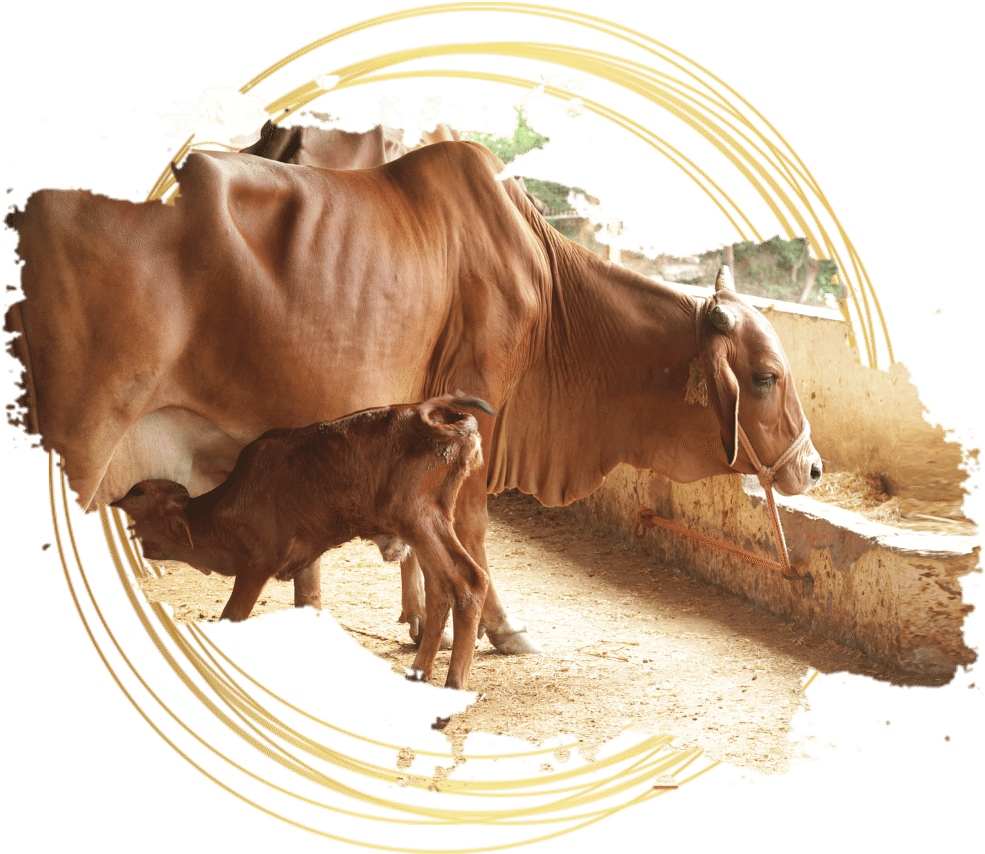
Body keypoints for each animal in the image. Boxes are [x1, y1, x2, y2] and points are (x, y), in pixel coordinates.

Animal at [111, 393, 494, 692]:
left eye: (138, 492)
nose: (112, 503)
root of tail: (438, 416)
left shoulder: (256, 564)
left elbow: (231, 616)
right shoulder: (306, 557)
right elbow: (308, 601)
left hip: (416, 518)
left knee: (469, 583)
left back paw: (451, 691)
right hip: (433, 522)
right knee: (441, 591)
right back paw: (419, 673)